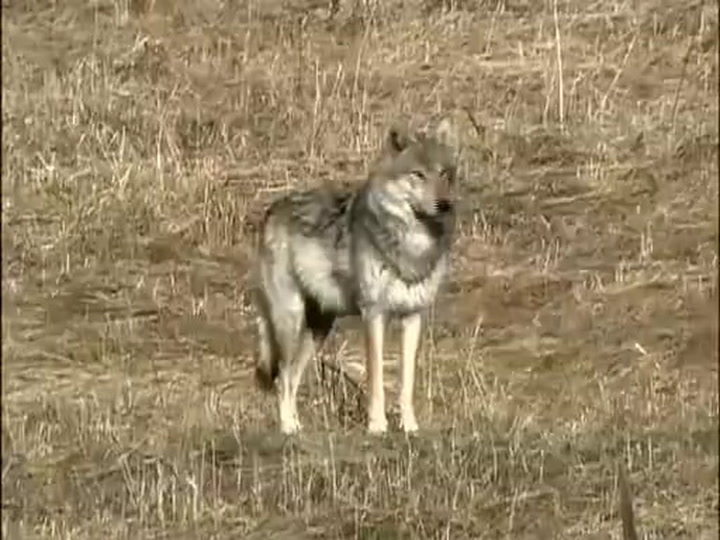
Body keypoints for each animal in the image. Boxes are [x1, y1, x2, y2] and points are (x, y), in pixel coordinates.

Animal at [253, 118, 459, 434]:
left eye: (444, 173)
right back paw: (287, 427)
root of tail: (272, 208)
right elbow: (376, 379)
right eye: (418, 175)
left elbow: (406, 382)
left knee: (293, 378)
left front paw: (410, 427)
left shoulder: (413, 315)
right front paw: (377, 426)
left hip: (319, 330)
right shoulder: (374, 314)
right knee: (282, 377)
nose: (445, 204)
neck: (413, 246)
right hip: (290, 319)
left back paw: (298, 428)